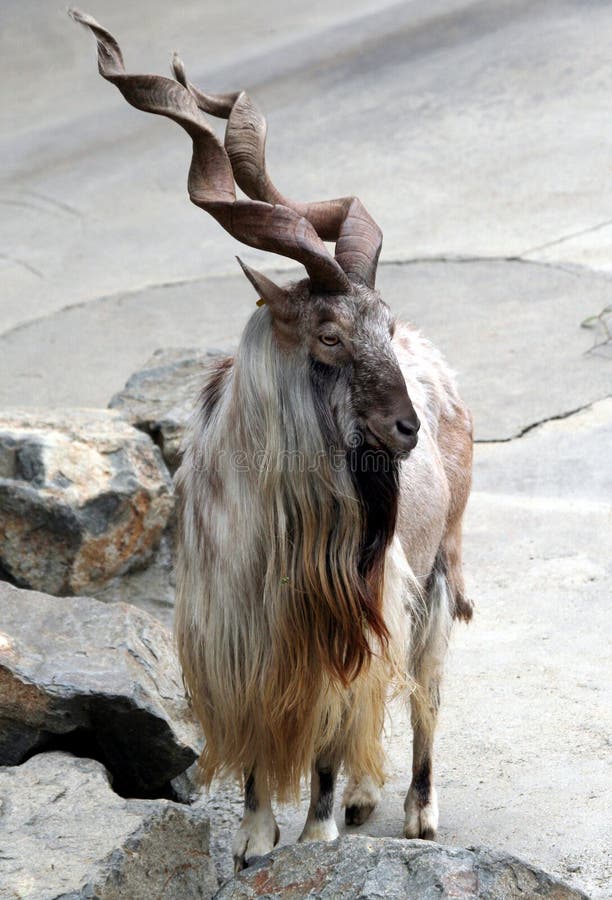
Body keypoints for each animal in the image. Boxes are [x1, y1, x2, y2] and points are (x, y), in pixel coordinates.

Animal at [72, 10, 473, 872]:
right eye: (328, 334)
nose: (407, 429)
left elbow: (327, 729)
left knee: (424, 692)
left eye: (383, 324)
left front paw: (313, 832)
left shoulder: (340, 621)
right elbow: (260, 740)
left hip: (437, 569)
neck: (275, 529)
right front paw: (255, 838)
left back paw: (417, 812)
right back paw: (364, 797)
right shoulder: (235, 632)